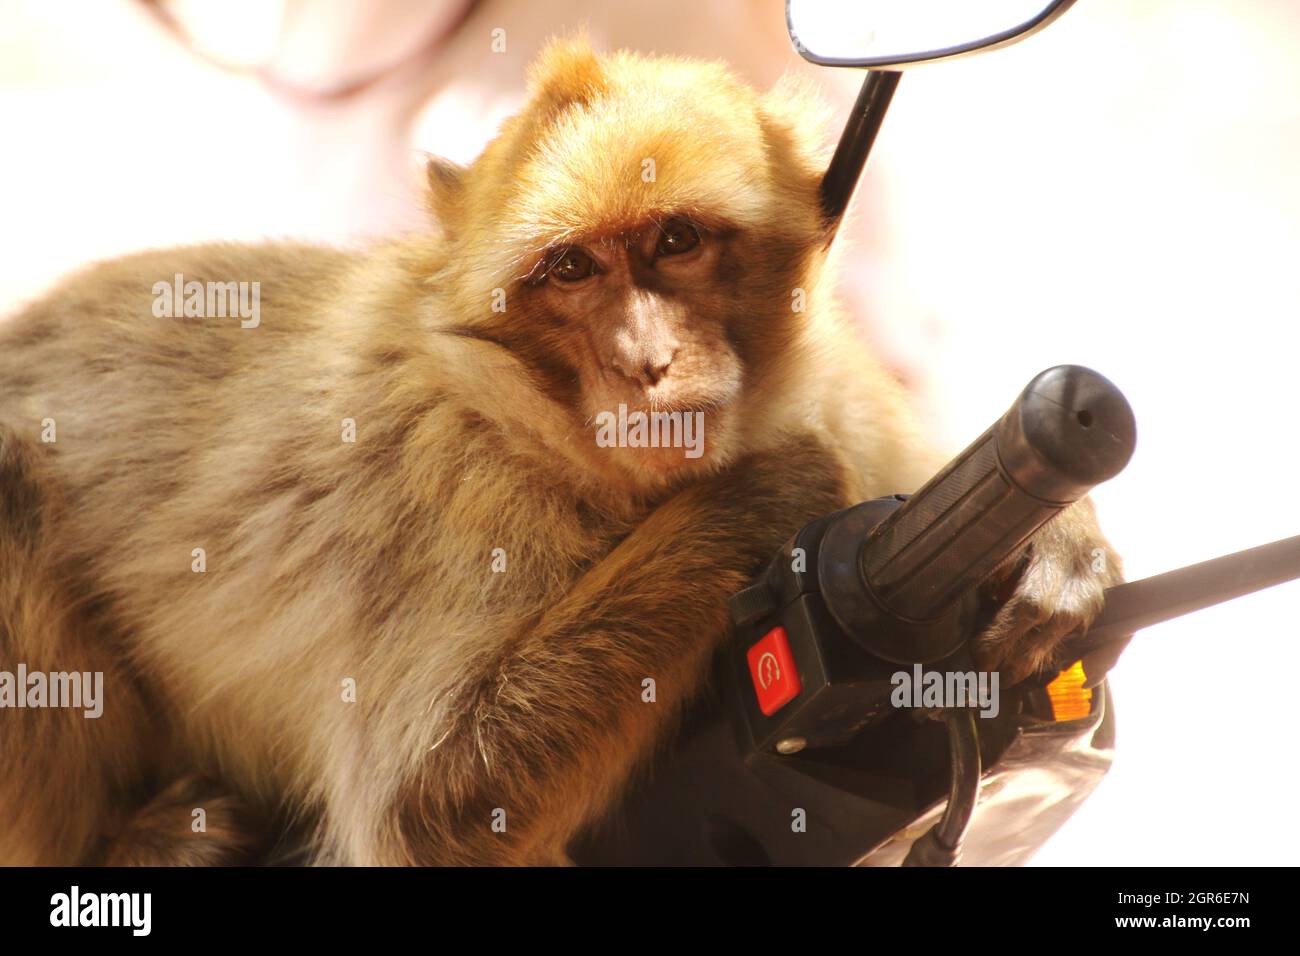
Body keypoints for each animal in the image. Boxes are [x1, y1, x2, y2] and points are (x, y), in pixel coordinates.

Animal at [0, 39, 1123, 865]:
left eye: (676, 240)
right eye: (572, 269)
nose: (645, 359)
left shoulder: (841, 386)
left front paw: (1057, 537)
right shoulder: (459, 483)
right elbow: (437, 801)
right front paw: (770, 490)